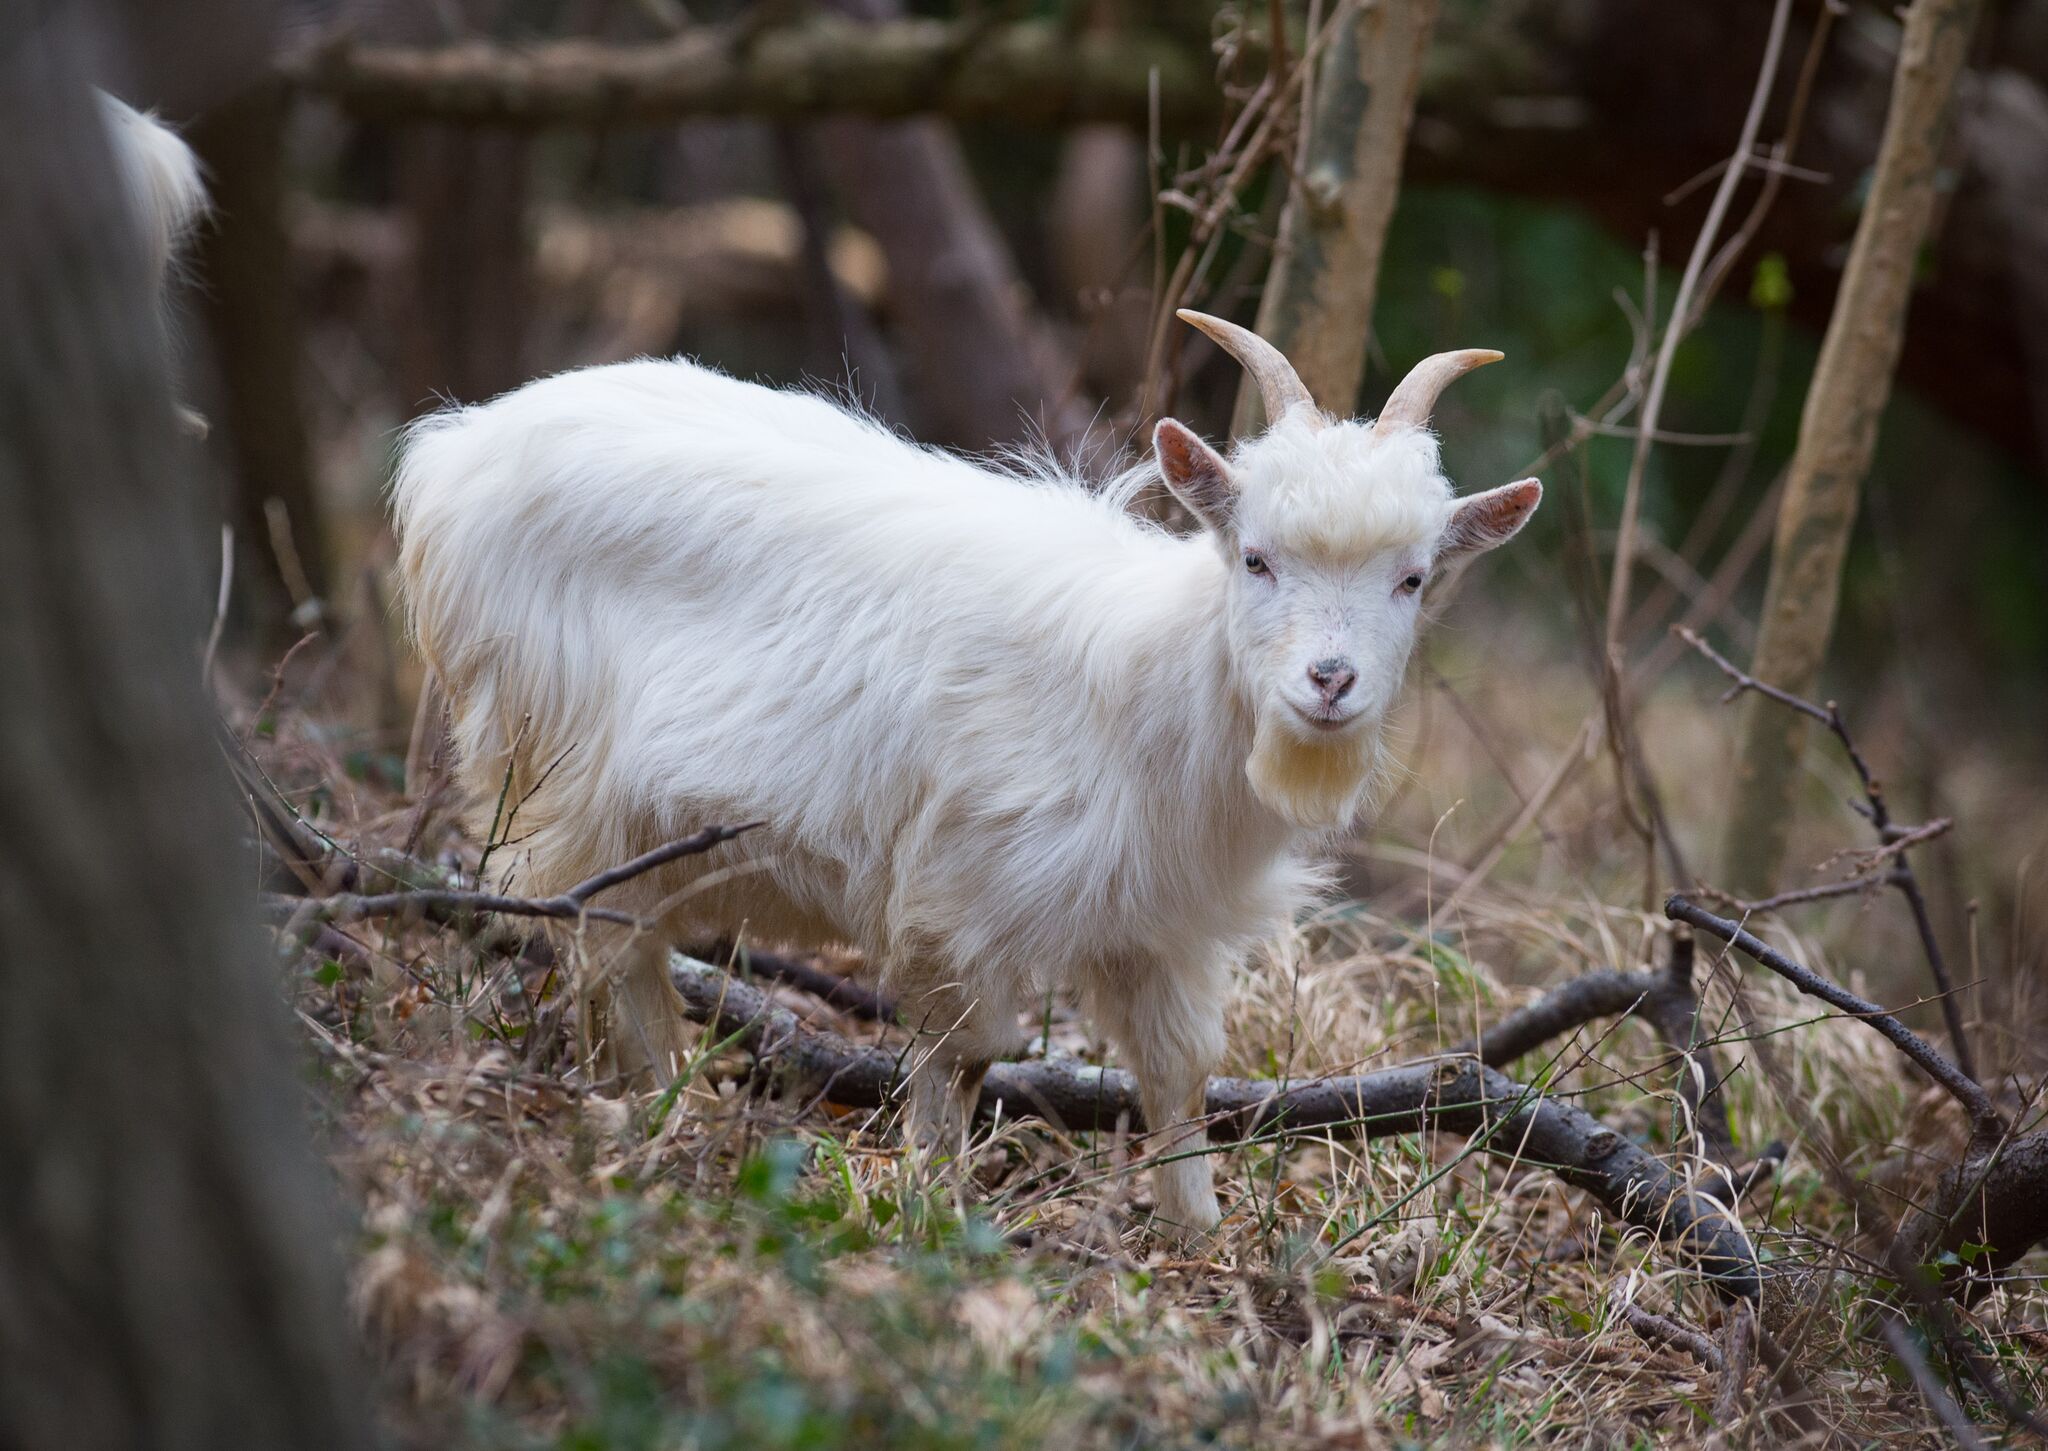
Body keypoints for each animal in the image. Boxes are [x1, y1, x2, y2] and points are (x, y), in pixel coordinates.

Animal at [392, 311, 1540, 1235]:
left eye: (1412, 578)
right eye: (1254, 557)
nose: (1330, 680)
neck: (1154, 682)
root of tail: (456, 450)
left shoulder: (1159, 924)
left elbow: (1178, 1072)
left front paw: (1200, 1234)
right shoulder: (958, 893)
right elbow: (962, 1051)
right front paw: (930, 1203)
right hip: (559, 764)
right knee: (600, 932)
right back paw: (650, 1104)